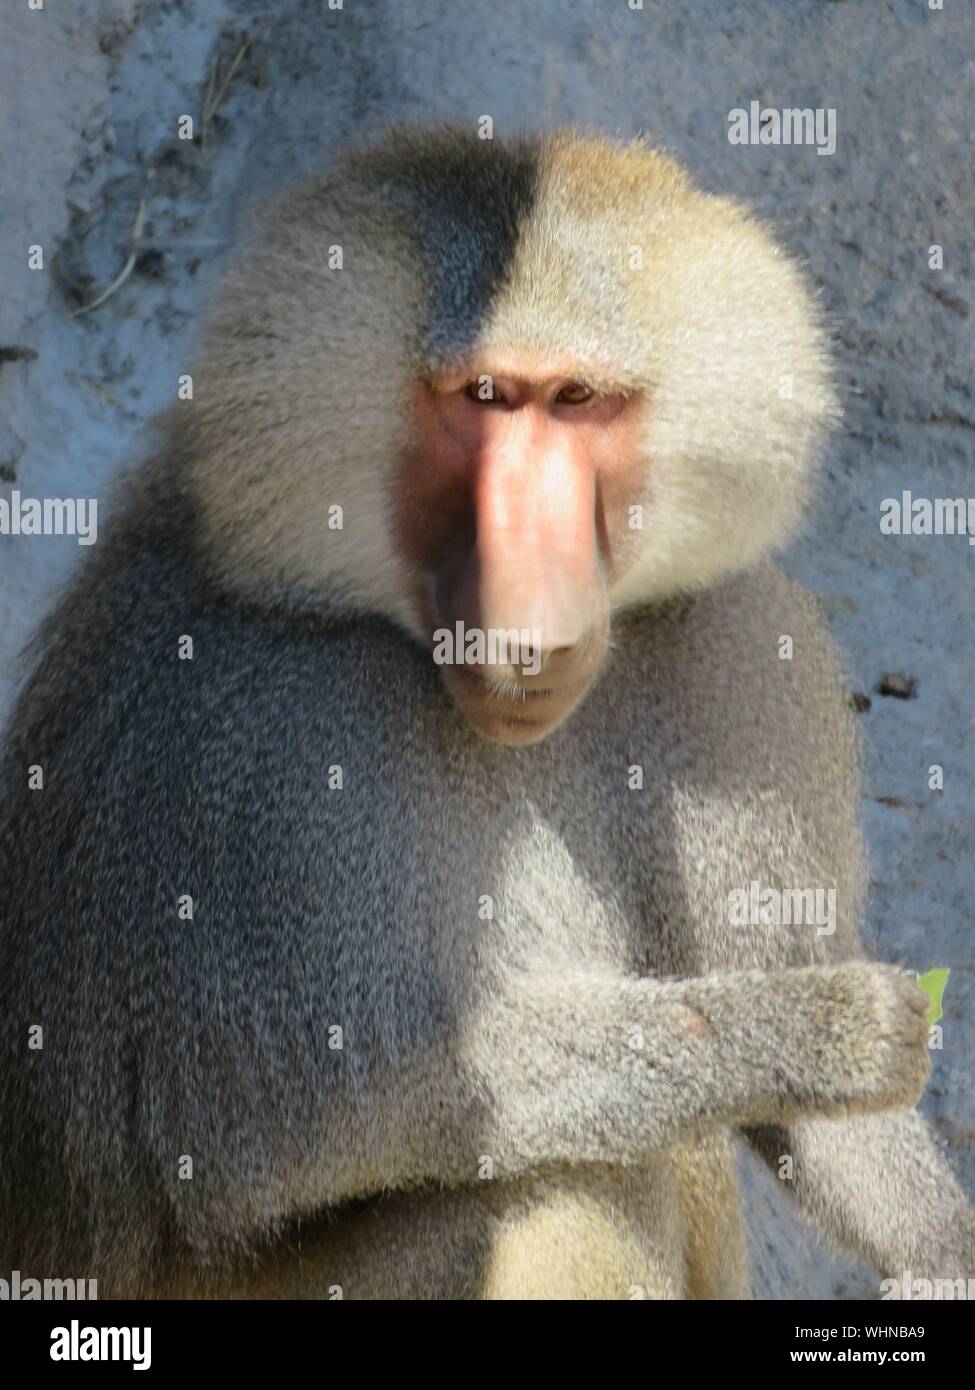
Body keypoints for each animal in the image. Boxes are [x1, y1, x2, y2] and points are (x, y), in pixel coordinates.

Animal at [1, 125, 973, 1300]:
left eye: (577, 400)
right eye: (484, 396)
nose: (530, 599)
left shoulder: (729, 649)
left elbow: (823, 1126)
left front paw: (936, 1240)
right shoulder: (264, 747)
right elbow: (295, 1134)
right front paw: (817, 1028)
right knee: (583, 1176)